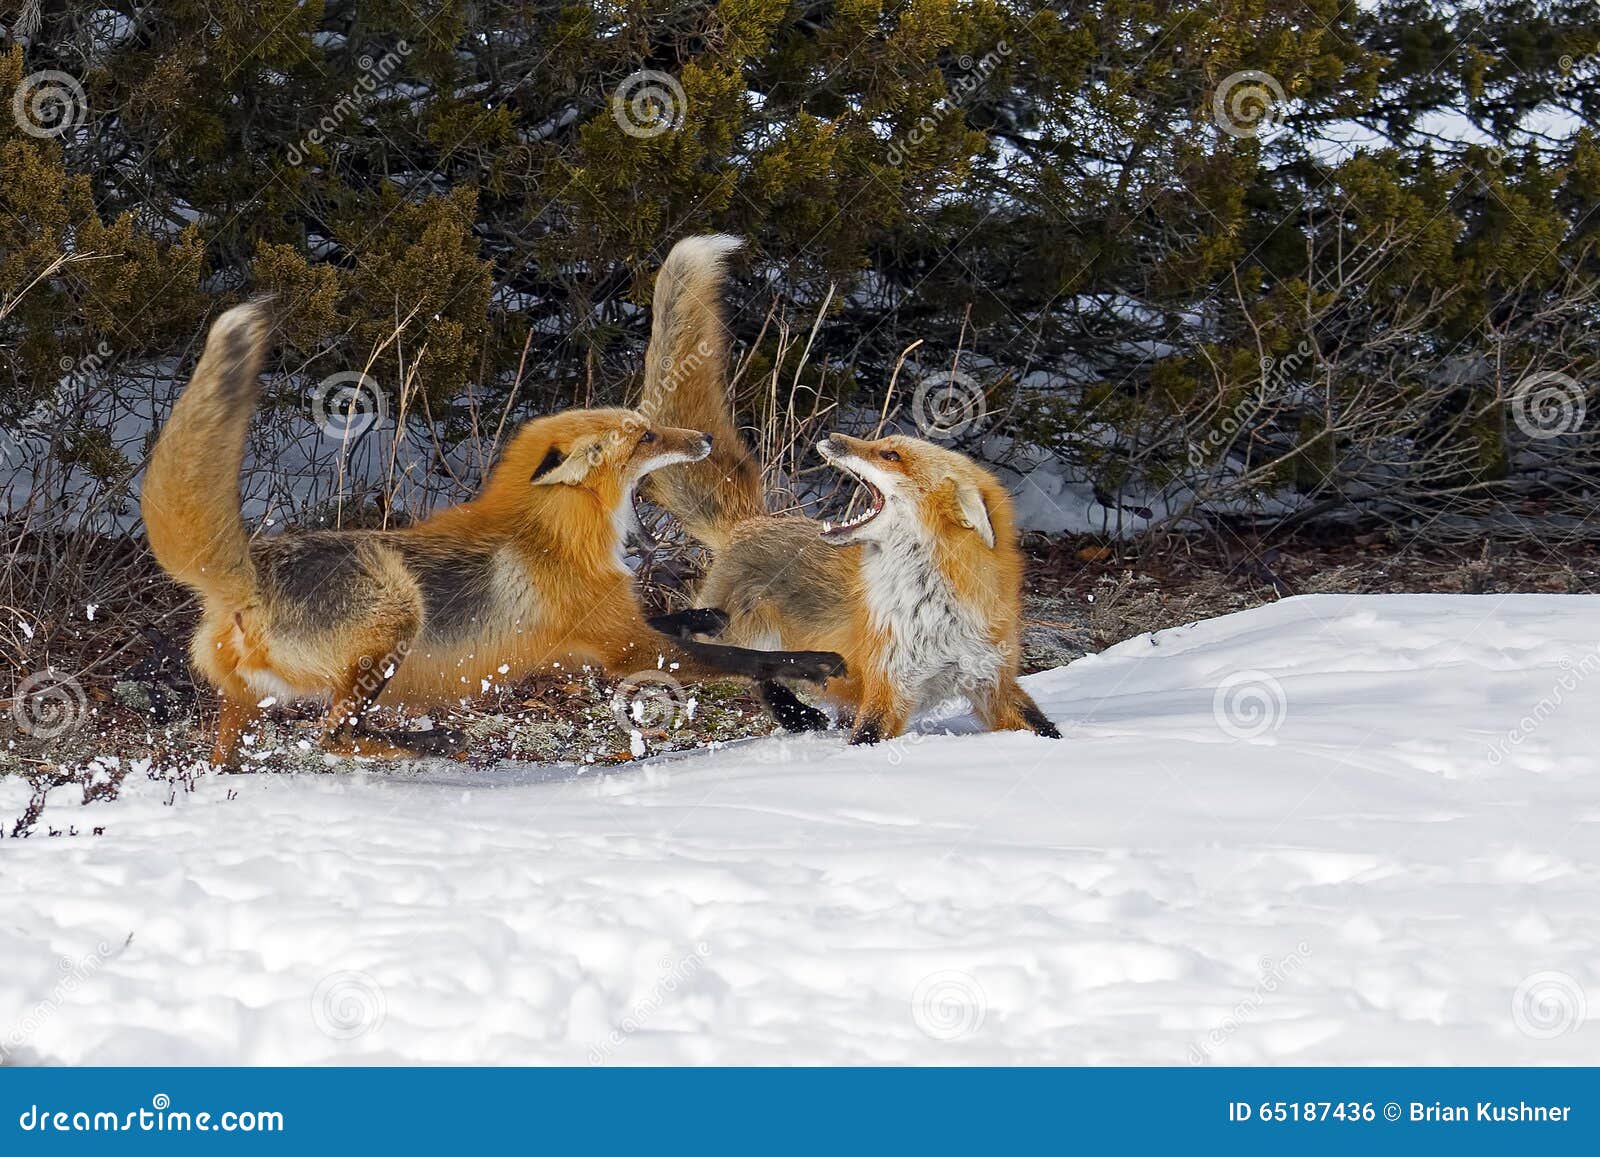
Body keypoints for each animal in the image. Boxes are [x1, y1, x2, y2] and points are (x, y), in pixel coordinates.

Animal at [141, 298, 846, 768]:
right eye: (645, 436)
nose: (700, 438)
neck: (563, 536)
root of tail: (248, 576)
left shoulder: (594, 639)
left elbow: (679, 619)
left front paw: (708, 615)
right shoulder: (629, 651)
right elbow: (750, 658)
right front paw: (816, 666)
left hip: (244, 702)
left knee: (239, 747)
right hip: (398, 614)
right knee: (332, 736)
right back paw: (430, 743)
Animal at [638, 235, 1061, 745]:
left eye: (891, 455)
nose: (832, 437)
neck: (934, 609)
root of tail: (753, 522)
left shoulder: (993, 681)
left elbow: (1045, 730)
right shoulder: (887, 688)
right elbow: (867, 737)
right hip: (734, 631)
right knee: (751, 672)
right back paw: (796, 715)